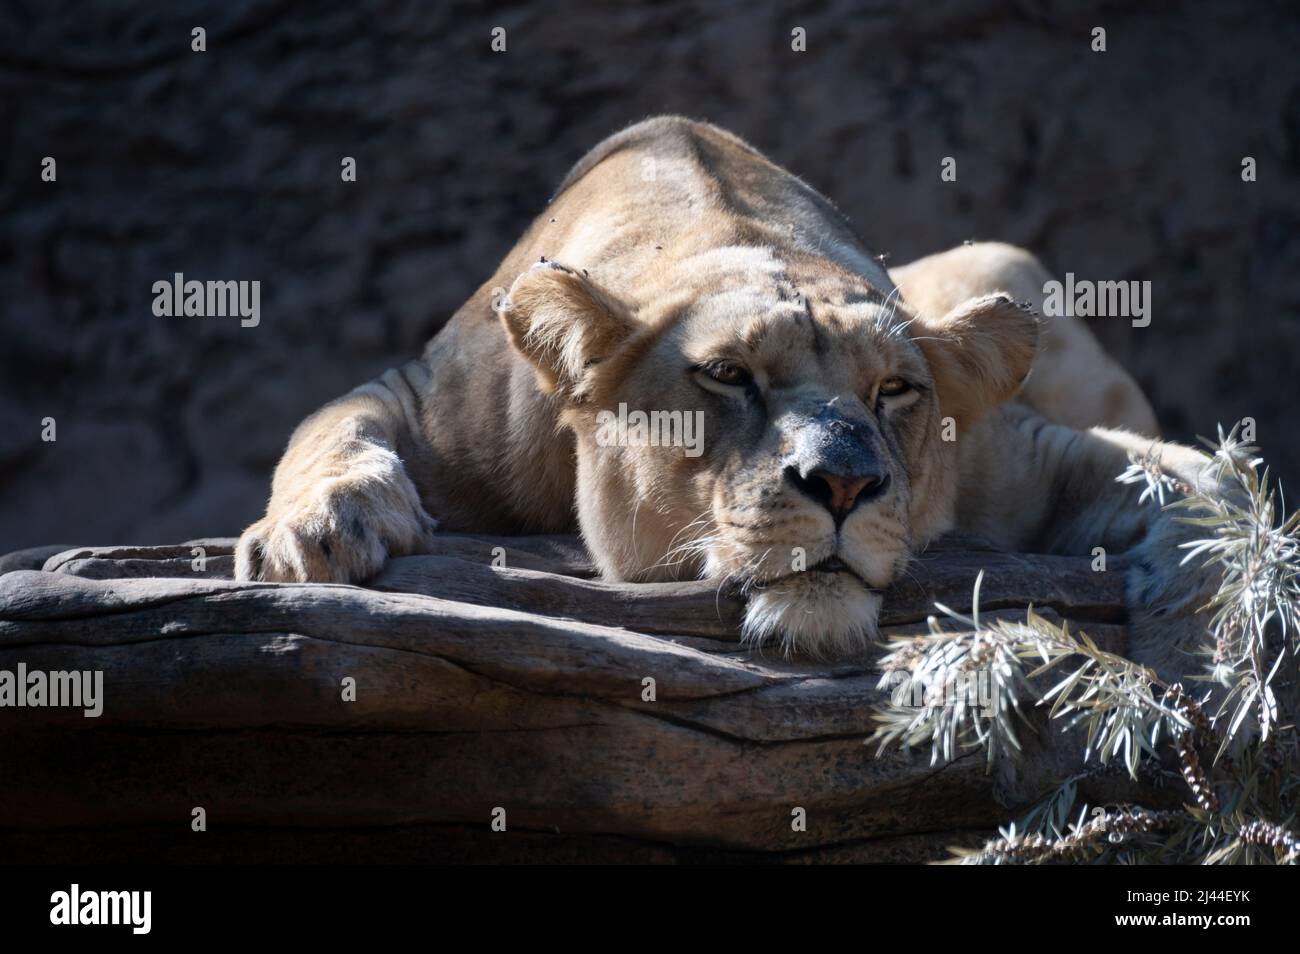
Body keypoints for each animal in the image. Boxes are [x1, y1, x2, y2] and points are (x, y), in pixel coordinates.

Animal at [235, 116, 1225, 679]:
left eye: (895, 389)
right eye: (728, 376)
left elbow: (1208, 493)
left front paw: (1205, 681)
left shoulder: (1015, 450)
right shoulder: (432, 399)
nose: (844, 486)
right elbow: (325, 426)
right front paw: (322, 528)